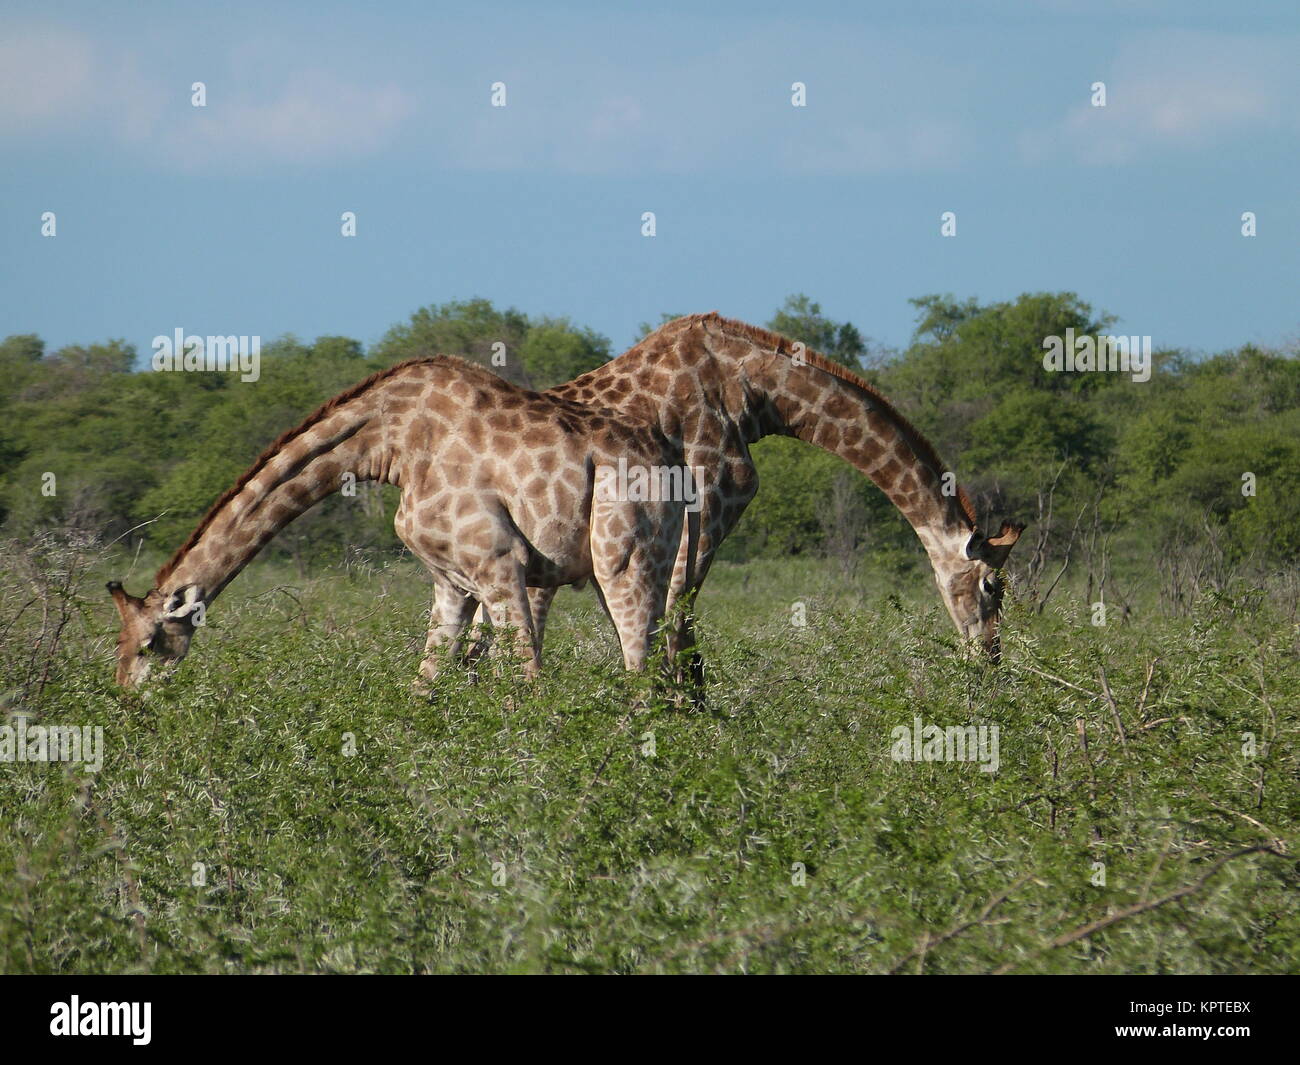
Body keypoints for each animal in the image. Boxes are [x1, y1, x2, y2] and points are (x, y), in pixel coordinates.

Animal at [108, 355, 693, 690]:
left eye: (149, 644)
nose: (127, 699)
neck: (389, 444)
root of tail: (678, 465)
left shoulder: (499, 563)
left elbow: (525, 683)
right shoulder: (453, 581)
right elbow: (424, 686)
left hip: (623, 561)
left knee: (641, 674)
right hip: (639, 566)